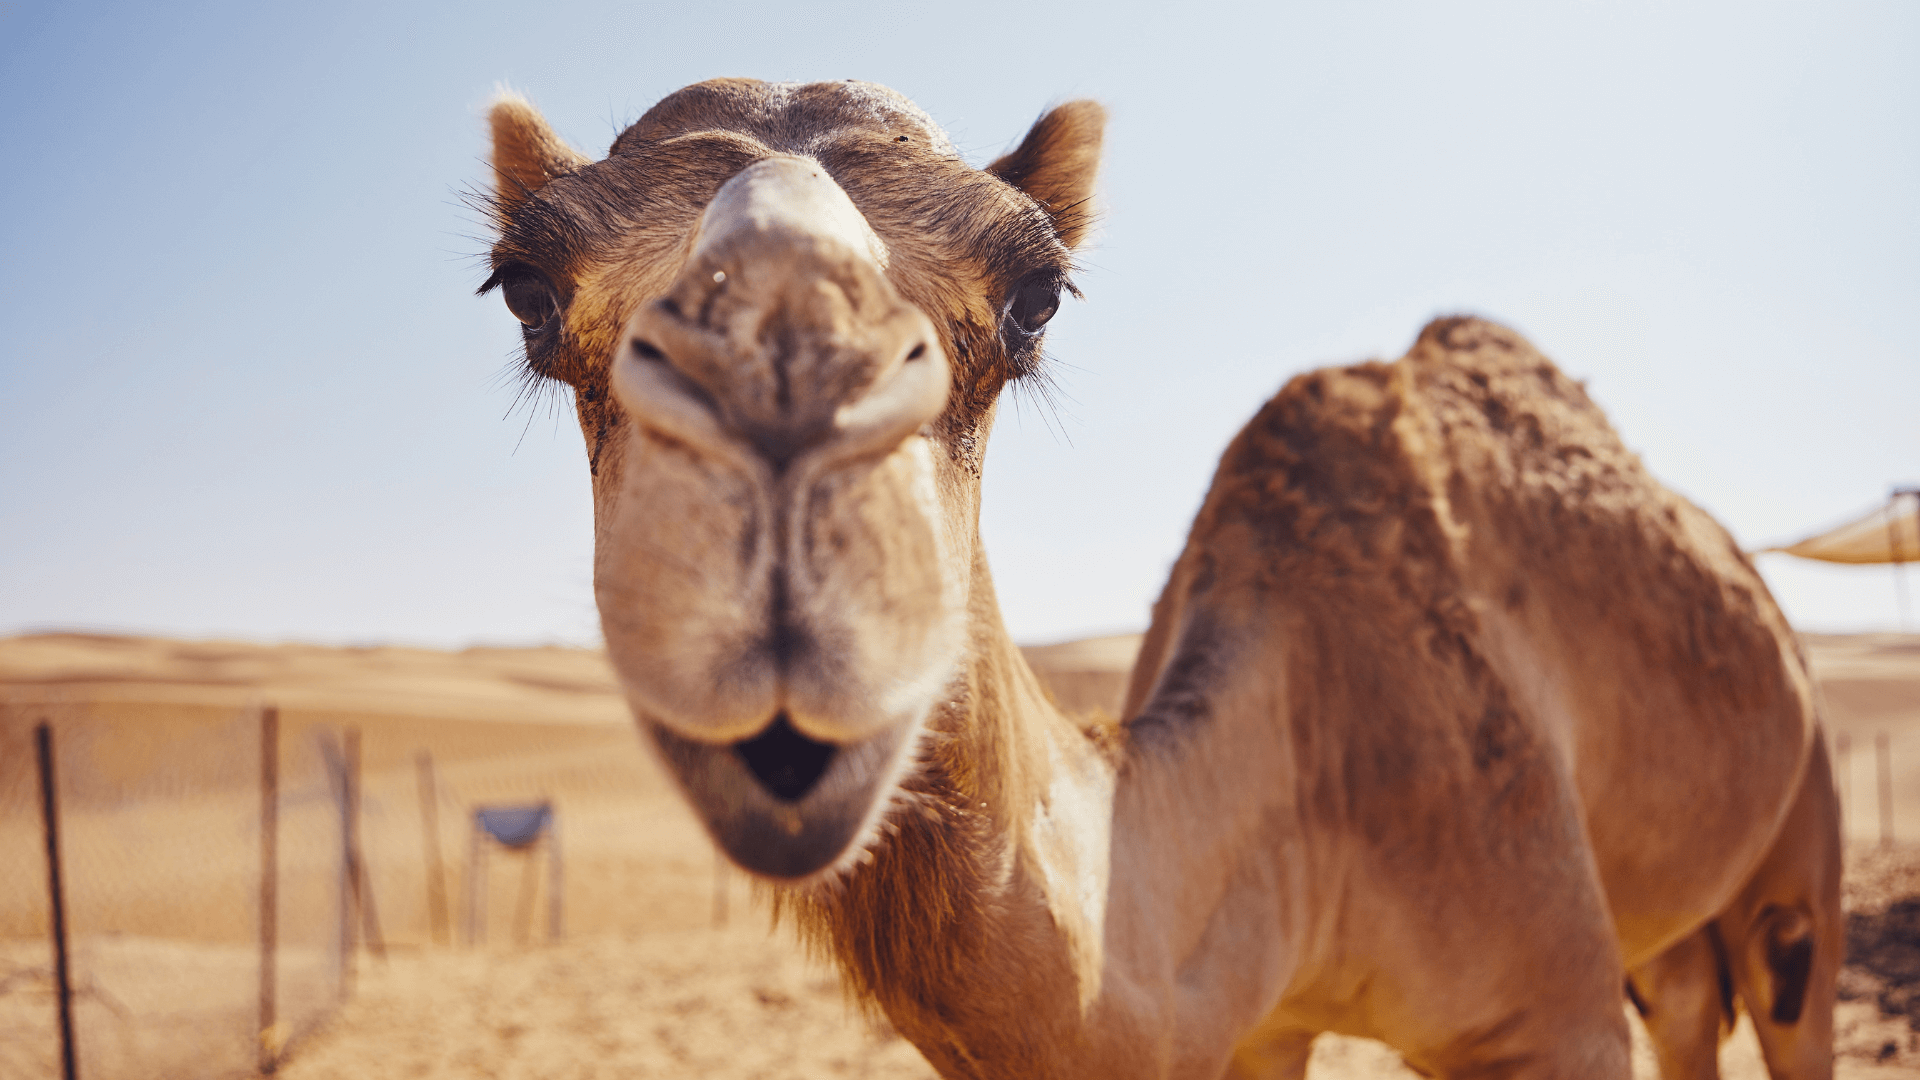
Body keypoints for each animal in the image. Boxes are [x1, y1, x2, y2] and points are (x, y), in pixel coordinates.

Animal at [478, 79, 1840, 1079]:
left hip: (1798, 837)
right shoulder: (1255, 1026)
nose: (783, 417)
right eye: (527, 290)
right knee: (1688, 1002)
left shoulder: (1551, 1013)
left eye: (1036, 298)